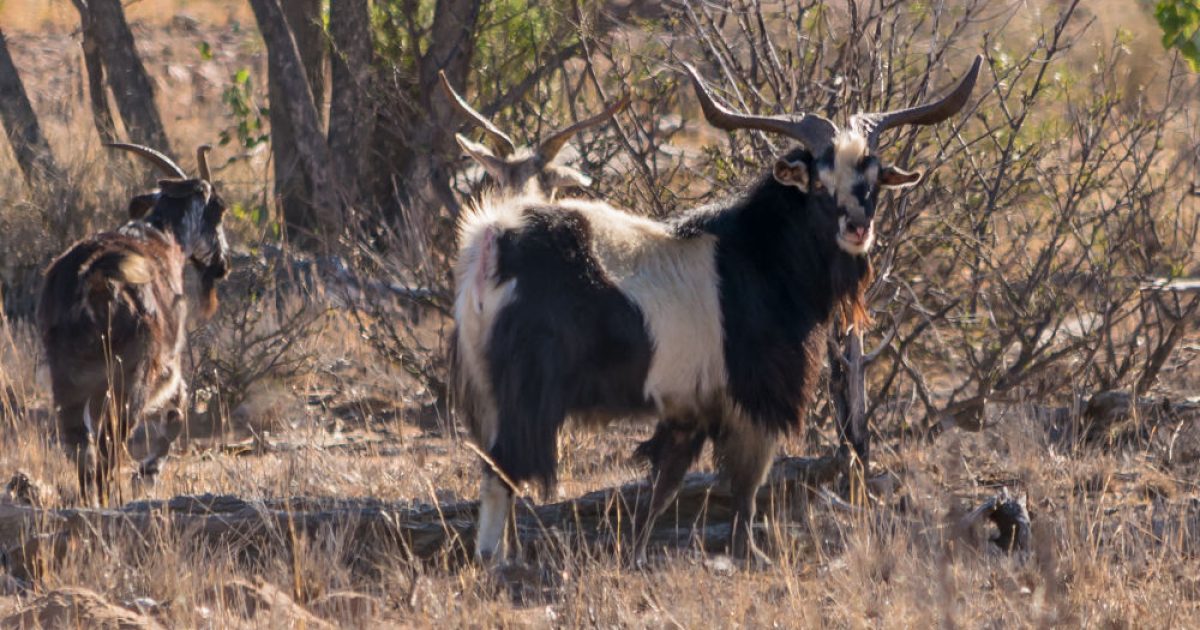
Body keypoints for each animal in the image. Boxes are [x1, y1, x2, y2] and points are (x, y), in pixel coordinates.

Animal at [38, 143, 230, 503]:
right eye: (219, 211)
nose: (224, 264)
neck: (162, 234)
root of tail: (94, 277)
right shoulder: (166, 363)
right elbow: (177, 410)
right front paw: (147, 474)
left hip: (69, 377)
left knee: (81, 443)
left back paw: (91, 500)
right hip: (131, 376)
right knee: (110, 440)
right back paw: (111, 496)